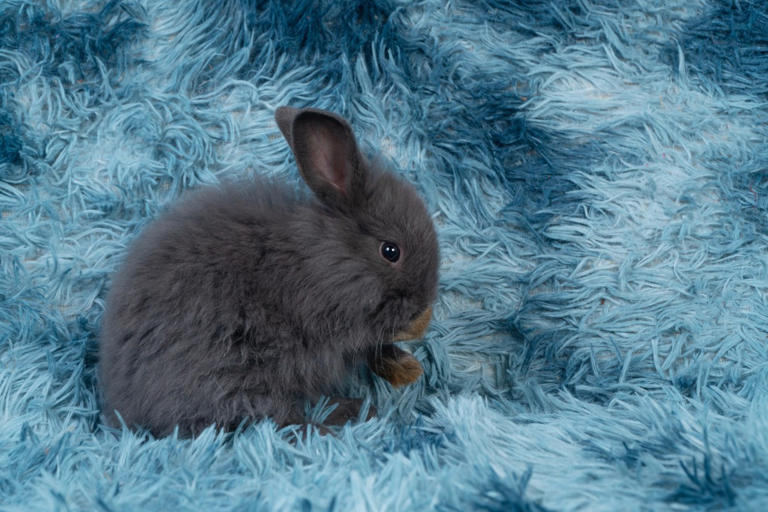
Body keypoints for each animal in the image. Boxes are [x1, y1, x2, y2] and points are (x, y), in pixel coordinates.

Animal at [98, 106, 440, 437]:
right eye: (390, 251)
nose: (423, 311)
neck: (323, 255)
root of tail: (124, 408)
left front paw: (407, 367)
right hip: (240, 374)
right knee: (277, 419)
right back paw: (342, 418)